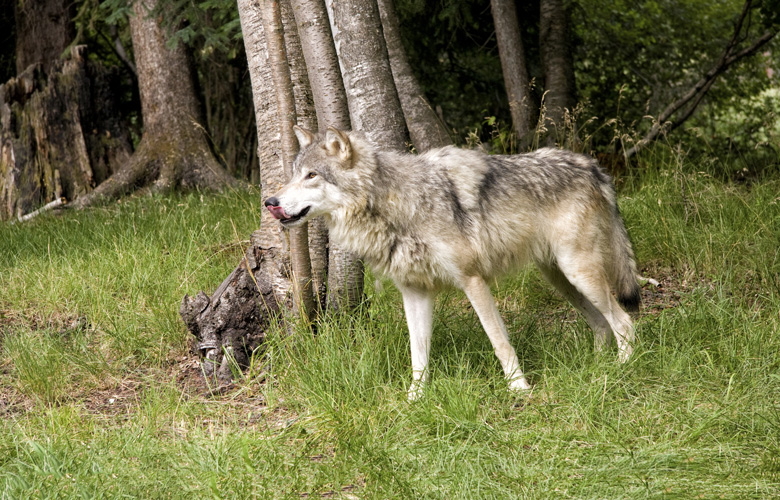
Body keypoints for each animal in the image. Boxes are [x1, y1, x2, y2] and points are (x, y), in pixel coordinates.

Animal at [265, 126, 640, 400]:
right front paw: (414, 399)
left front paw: (519, 388)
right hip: (561, 278)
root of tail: (592, 166)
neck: (395, 204)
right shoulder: (415, 292)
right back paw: (596, 368)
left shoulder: (472, 280)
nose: (270, 201)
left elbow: (499, 341)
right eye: (294, 174)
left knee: (623, 322)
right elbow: (418, 354)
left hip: (578, 274)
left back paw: (622, 369)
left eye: (312, 175)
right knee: (601, 325)